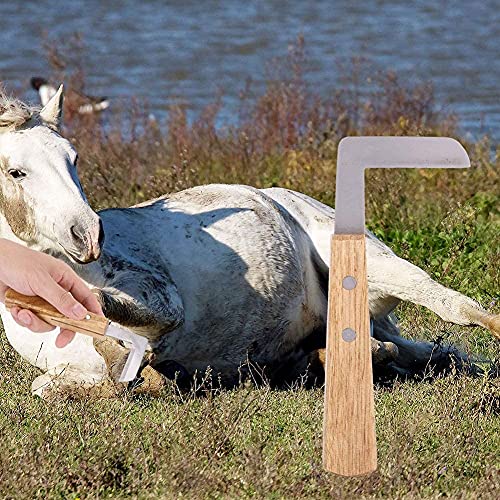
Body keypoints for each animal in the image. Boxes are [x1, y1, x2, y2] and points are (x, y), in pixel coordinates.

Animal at [0, 87, 500, 398]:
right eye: (16, 171)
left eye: (74, 158)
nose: (88, 234)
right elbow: (50, 387)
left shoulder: (162, 299)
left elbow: (119, 315)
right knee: (411, 350)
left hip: (378, 268)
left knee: (455, 308)